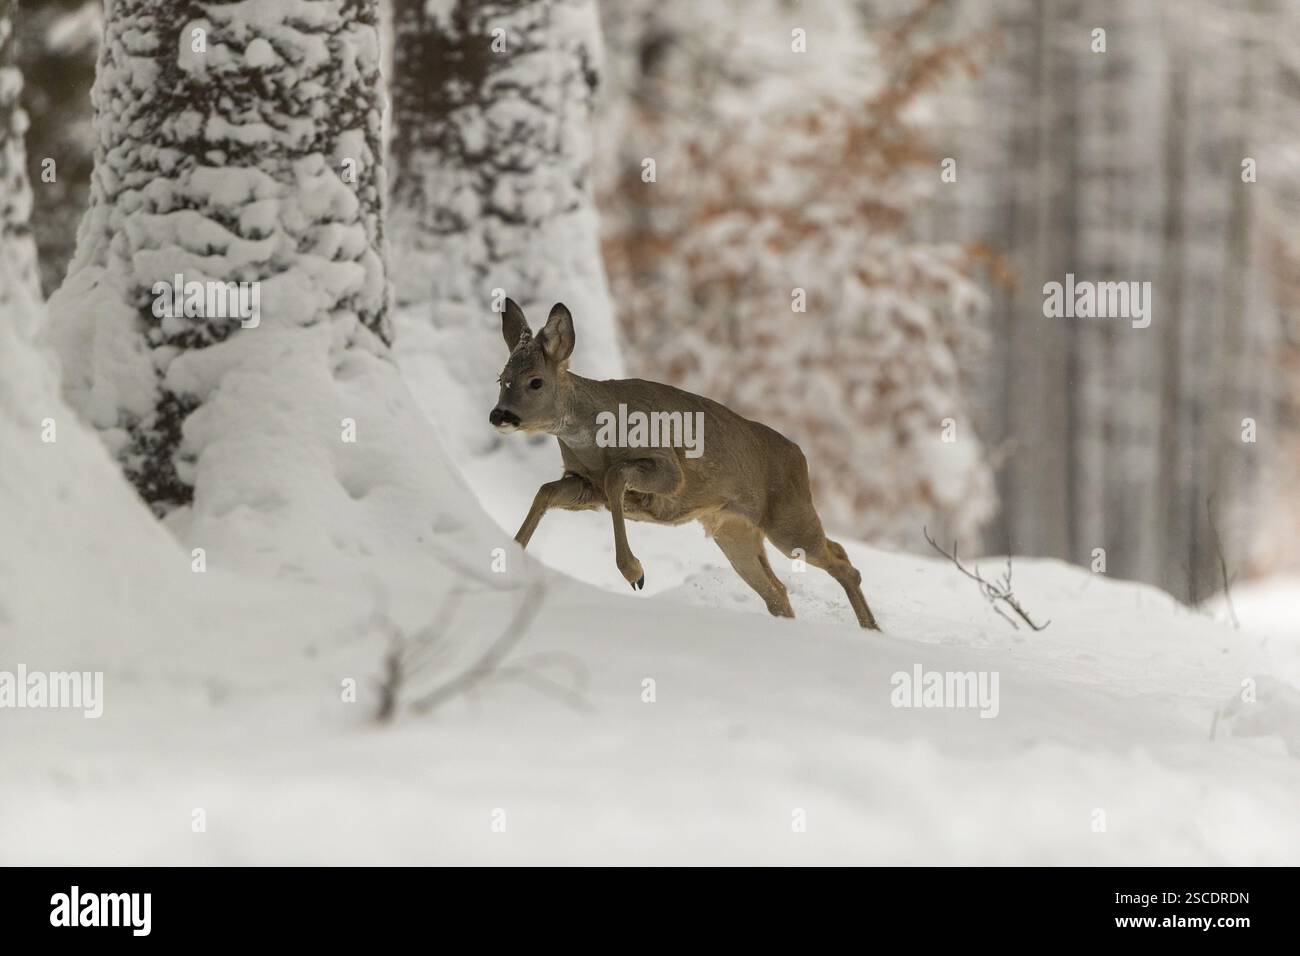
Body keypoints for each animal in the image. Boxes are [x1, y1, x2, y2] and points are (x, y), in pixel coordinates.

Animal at [489, 298, 880, 630]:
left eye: (535, 381)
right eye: (501, 379)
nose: (499, 415)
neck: (596, 433)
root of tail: (800, 455)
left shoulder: (668, 469)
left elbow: (616, 477)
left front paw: (635, 572)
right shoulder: (583, 483)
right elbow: (545, 491)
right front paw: (511, 557)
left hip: (789, 518)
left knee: (842, 561)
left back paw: (871, 630)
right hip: (734, 531)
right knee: (777, 591)